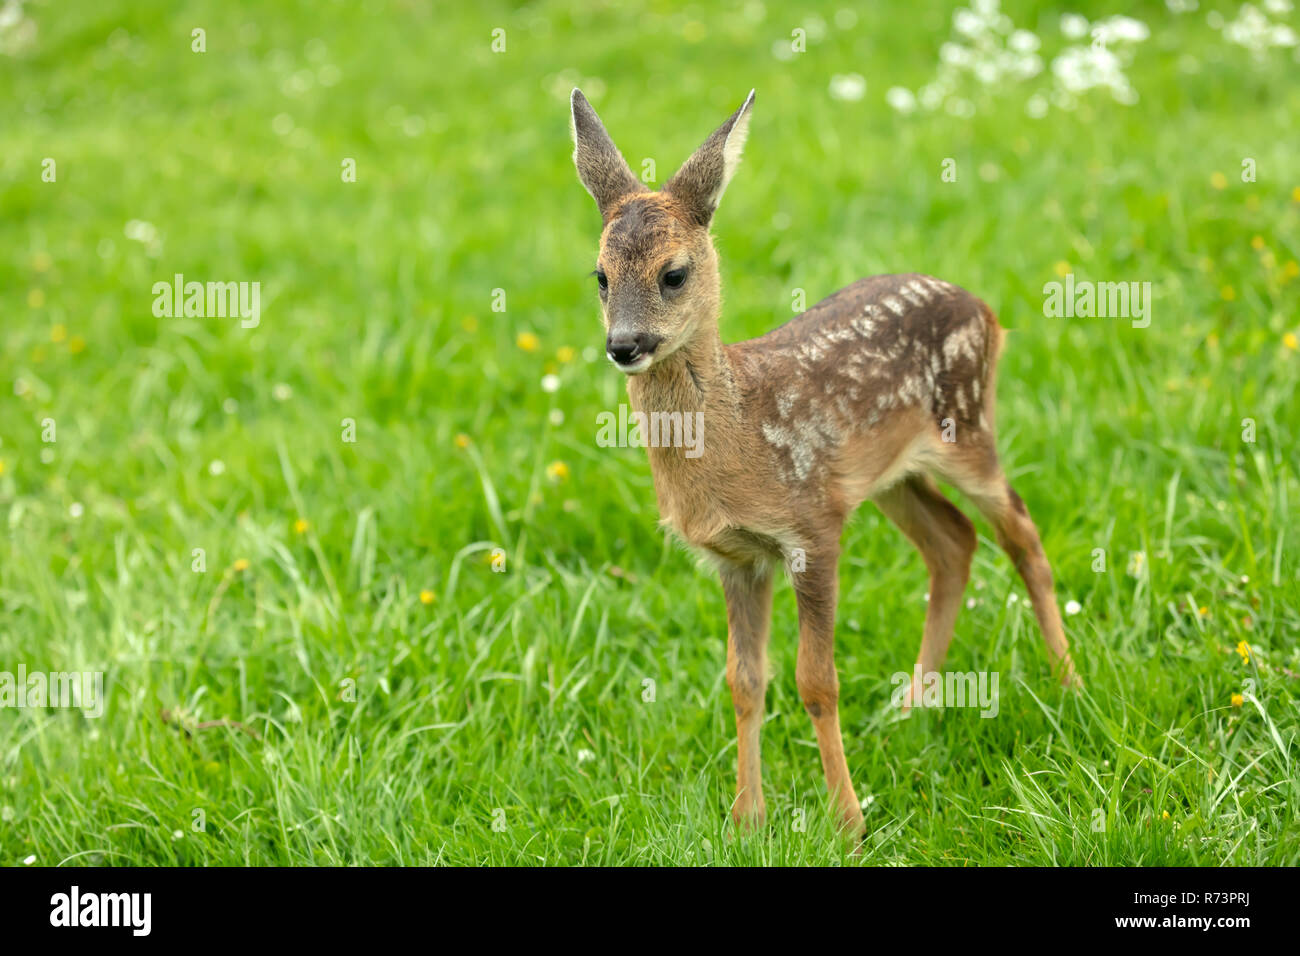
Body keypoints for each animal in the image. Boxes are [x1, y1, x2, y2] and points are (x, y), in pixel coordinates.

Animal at [568, 88, 1080, 840]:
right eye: (601, 277)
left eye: (673, 274)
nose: (624, 344)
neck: (739, 436)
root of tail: (985, 309)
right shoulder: (738, 557)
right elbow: (744, 681)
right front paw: (746, 818)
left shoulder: (811, 527)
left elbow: (816, 681)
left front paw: (849, 821)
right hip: (894, 475)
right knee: (953, 542)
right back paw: (910, 707)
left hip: (967, 428)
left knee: (1021, 531)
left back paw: (1069, 682)